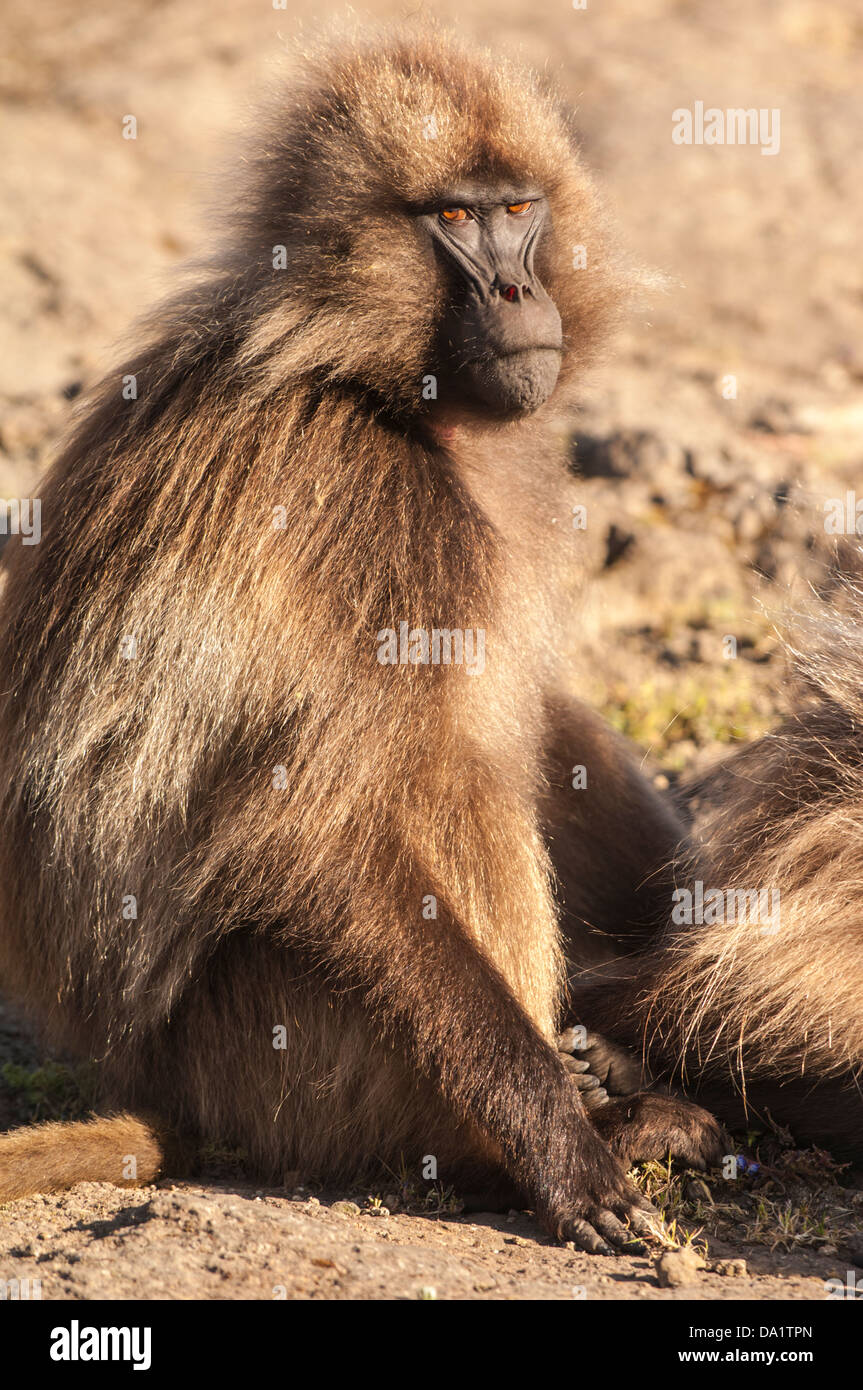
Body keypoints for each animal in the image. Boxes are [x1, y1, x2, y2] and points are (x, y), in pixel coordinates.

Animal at [0, 28, 725, 1255]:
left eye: (518, 208)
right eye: (453, 220)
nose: (520, 289)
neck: (369, 381)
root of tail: (168, 1094)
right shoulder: (364, 508)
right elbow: (314, 829)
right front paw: (559, 1147)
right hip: (277, 1055)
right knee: (444, 780)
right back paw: (535, 1142)